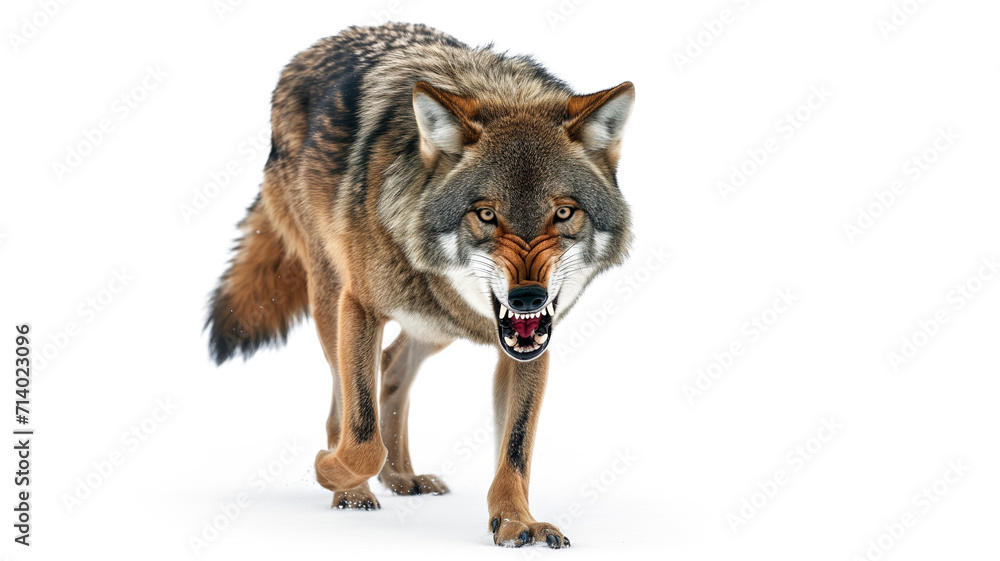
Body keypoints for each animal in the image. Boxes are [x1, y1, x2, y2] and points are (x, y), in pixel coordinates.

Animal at [206, 22, 634, 548]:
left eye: (564, 212)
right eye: (486, 214)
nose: (527, 298)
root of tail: (312, 48)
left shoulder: (531, 346)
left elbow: (515, 451)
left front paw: (516, 522)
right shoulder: (360, 307)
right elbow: (361, 436)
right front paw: (330, 473)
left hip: (437, 327)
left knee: (390, 367)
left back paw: (402, 477)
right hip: (331, 296)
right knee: (344, 406)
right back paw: (354, 491)